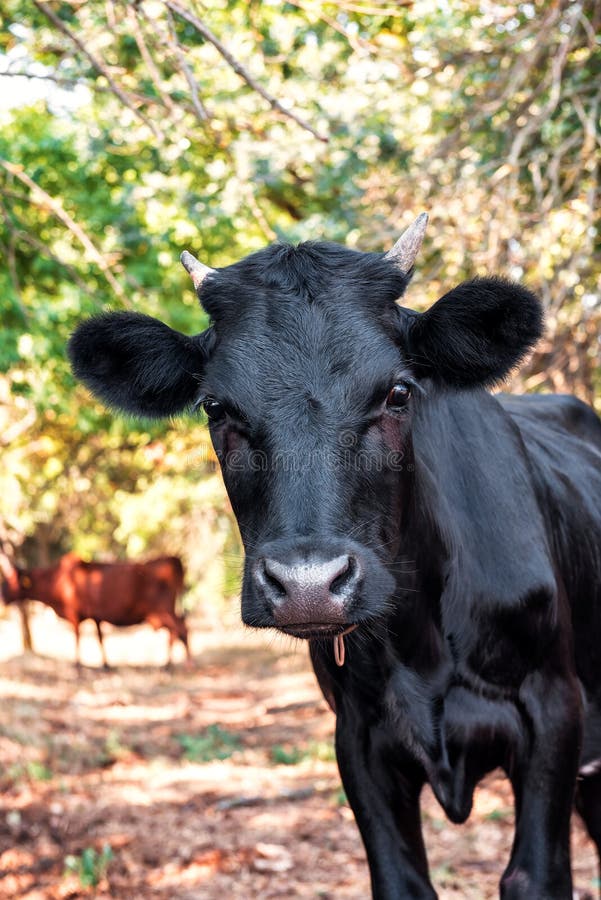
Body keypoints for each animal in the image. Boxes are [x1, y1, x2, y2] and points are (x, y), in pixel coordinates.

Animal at [1, 552, 190, 667]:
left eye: (9, 581)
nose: (2, 596)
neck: (57, 580)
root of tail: (173, 560)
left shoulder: (74, 613)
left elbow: (77, 638)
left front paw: (78, 666)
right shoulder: (96, 616)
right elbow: (100, 639)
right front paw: (105, 665)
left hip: (162, 610)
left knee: (181, 629)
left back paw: (177, 665)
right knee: (177, 630)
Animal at [68, 214, 601, 899]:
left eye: (398, 392)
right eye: (215, 406)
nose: (307, 584)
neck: (423, 643)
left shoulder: (554, 714)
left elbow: (534, 875)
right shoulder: (360, 741)